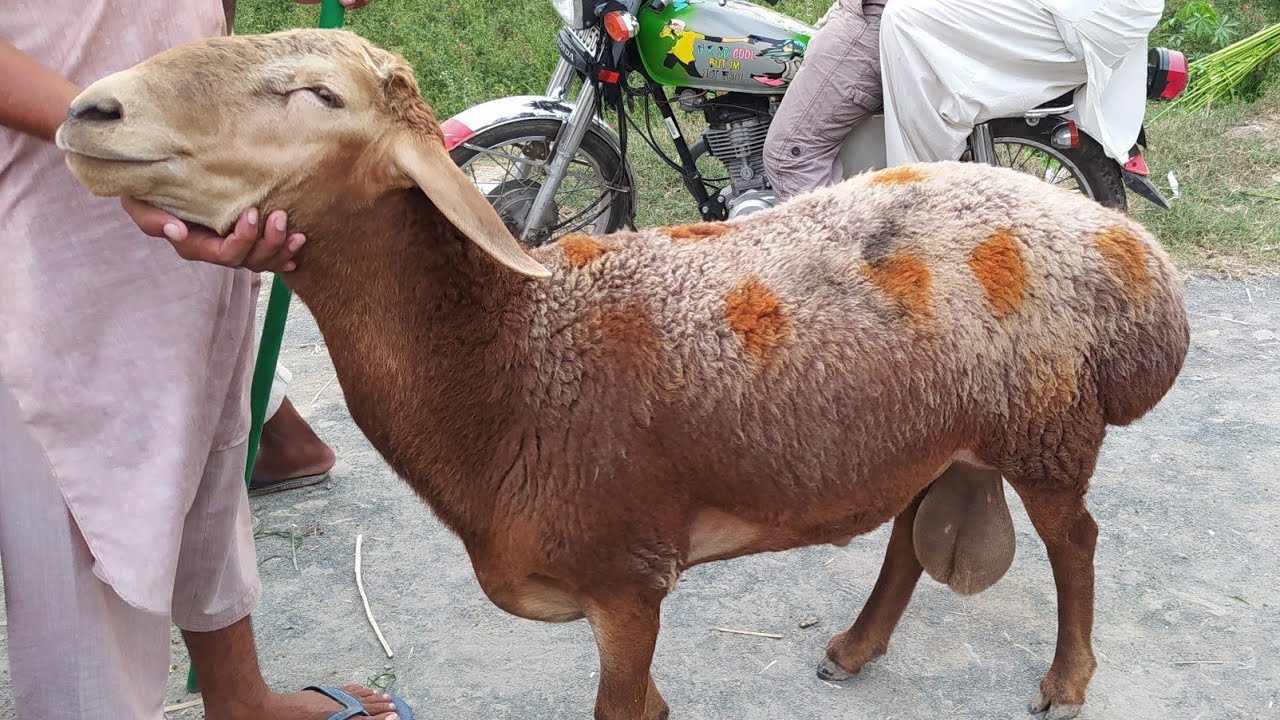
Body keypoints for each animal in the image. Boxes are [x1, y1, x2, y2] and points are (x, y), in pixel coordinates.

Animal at [55, 29, 1191, 720]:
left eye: (318, 94)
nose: (89, 111)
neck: (509, 360)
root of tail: (1134, 262)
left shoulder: (628, 579)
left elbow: (625, 702)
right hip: (942, 431)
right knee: (913, 536)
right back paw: (855, 647)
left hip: (1046, 423)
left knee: (1076, 541)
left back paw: (1065, 678)